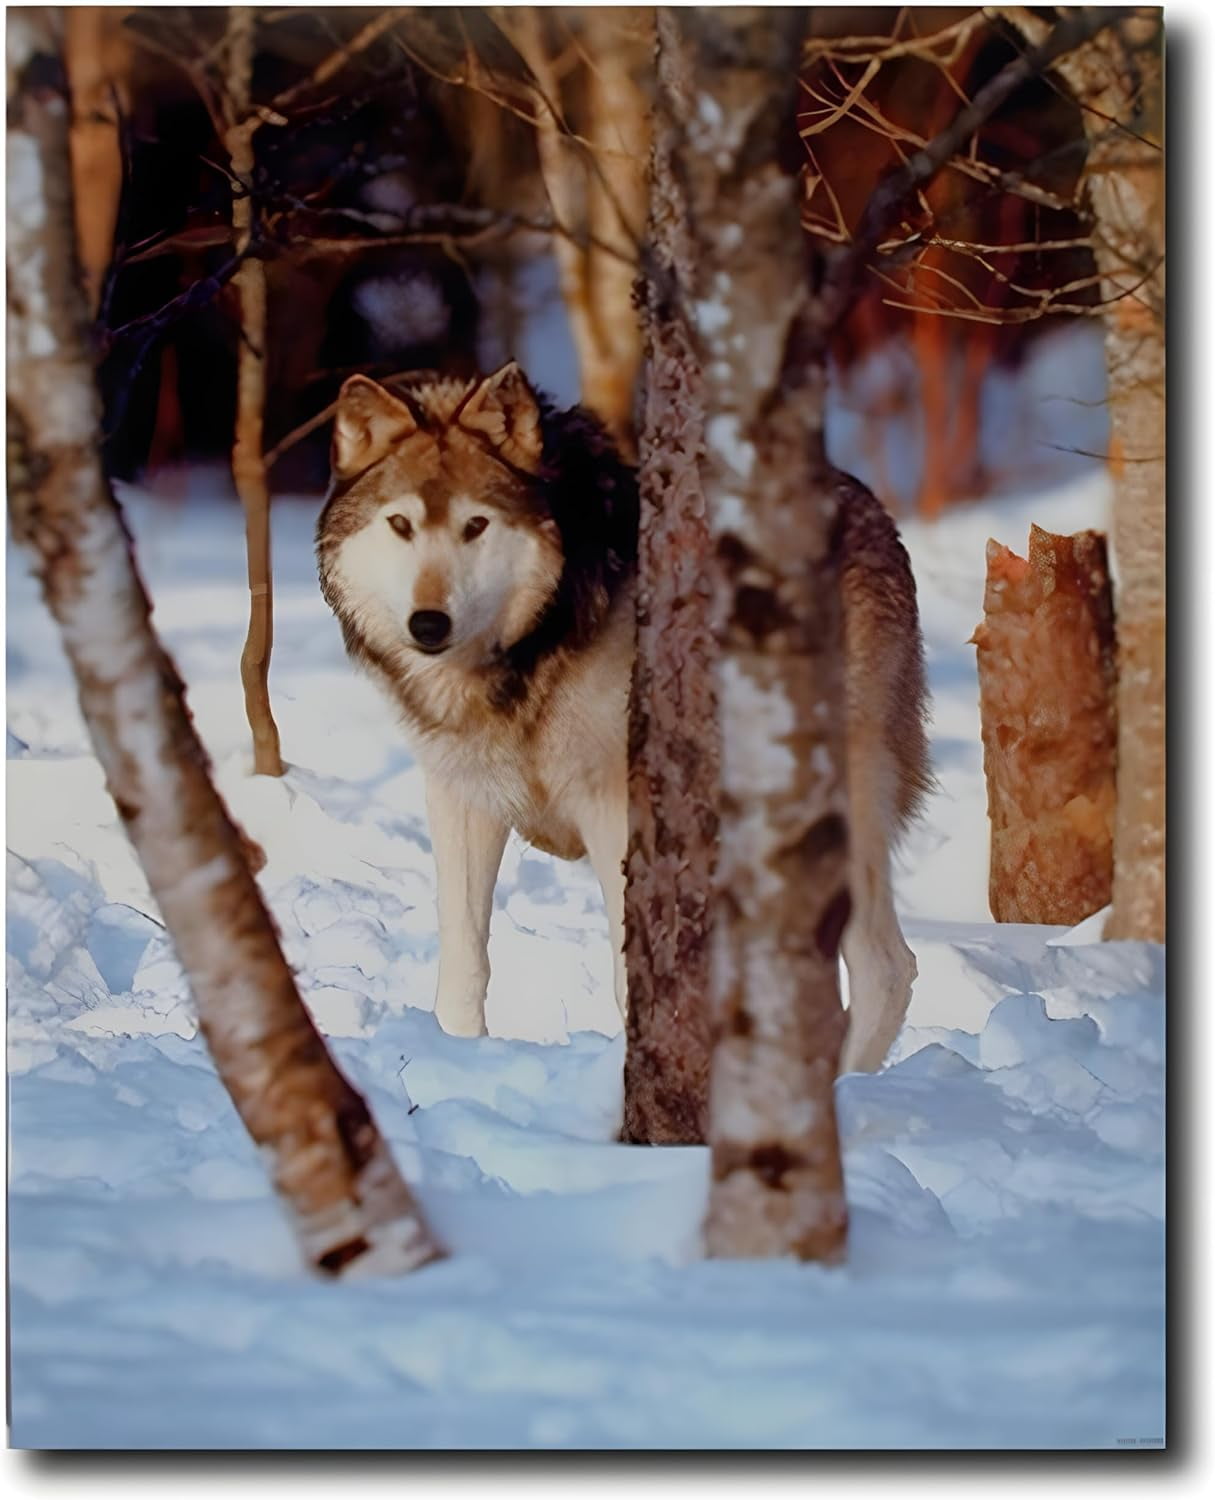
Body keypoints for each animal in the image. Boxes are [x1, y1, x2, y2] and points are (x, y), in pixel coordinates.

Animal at [317, 361, 930, 1073]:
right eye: (401, 525)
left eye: (475, 526)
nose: (429, 624)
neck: (523, 656)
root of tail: (873, 510)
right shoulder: (462, 800)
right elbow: (464, 963)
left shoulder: (616, 808)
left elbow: (624, 975)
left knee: (885, 967)